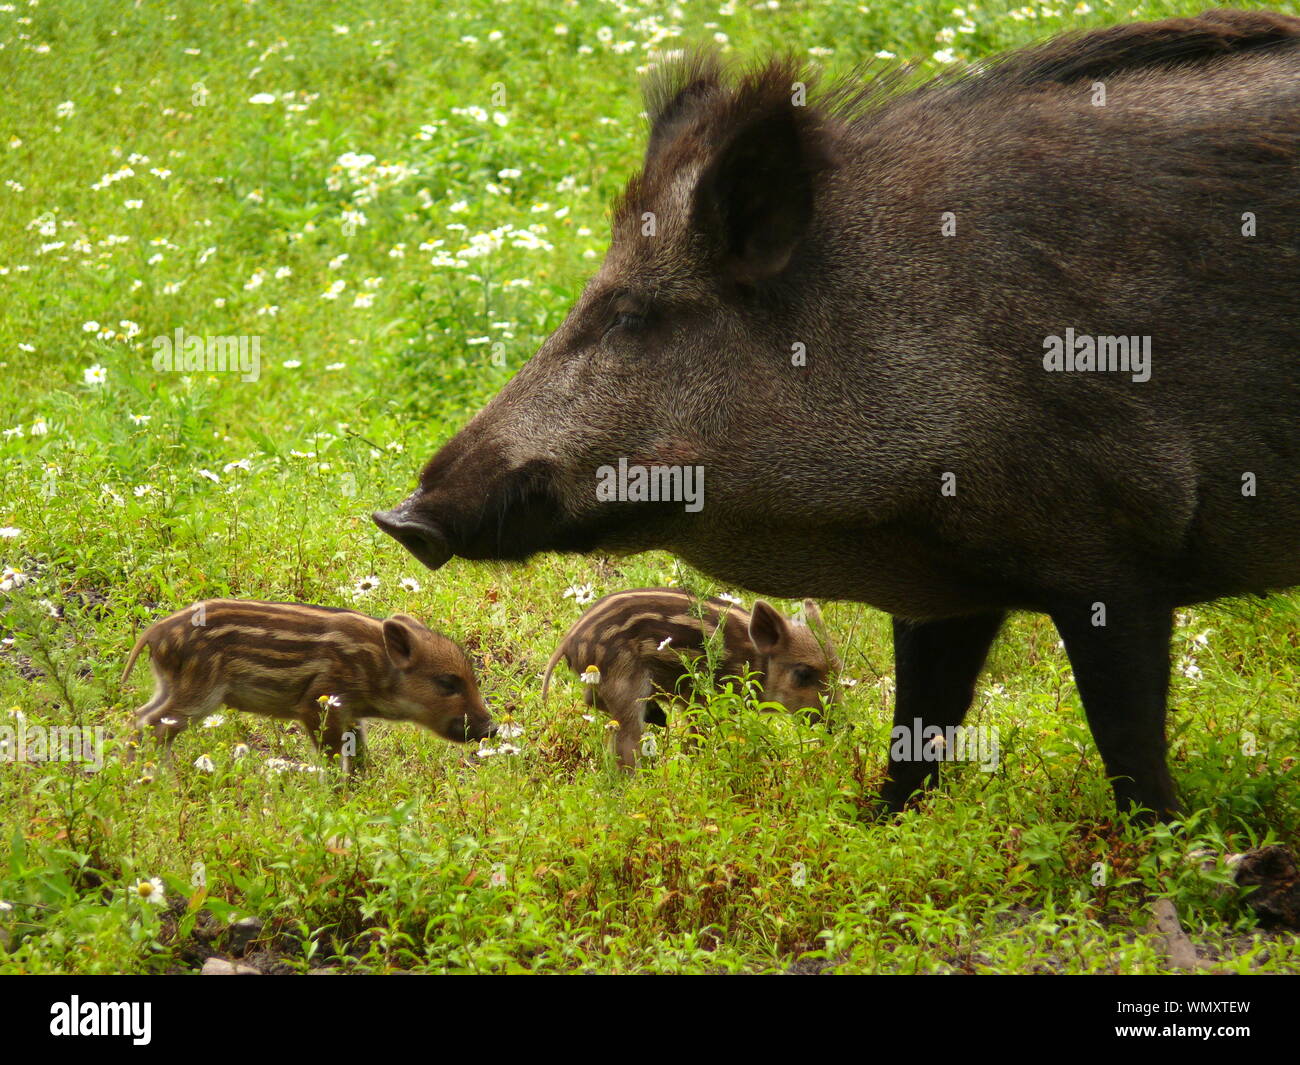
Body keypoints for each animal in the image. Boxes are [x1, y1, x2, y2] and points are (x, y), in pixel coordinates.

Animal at [121, 599, 495, 772]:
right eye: (447, 682)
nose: (491, 729)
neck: (376, 667)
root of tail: (155, 633)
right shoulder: (316, 703)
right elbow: (332, 756)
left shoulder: (350, 713)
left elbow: (359, 754)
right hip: (198, 691)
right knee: (151, 724)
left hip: (170, 686)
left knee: (139, 717)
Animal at [540, 589, 839, 767]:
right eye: (803, 673)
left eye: (838, 670)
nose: (835, 724)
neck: (753, 661)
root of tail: (570, 640)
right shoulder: (712, 698)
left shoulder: (691, 699)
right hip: (625, 684)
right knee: (626, 744)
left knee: (593, 704)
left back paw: (658, 718)